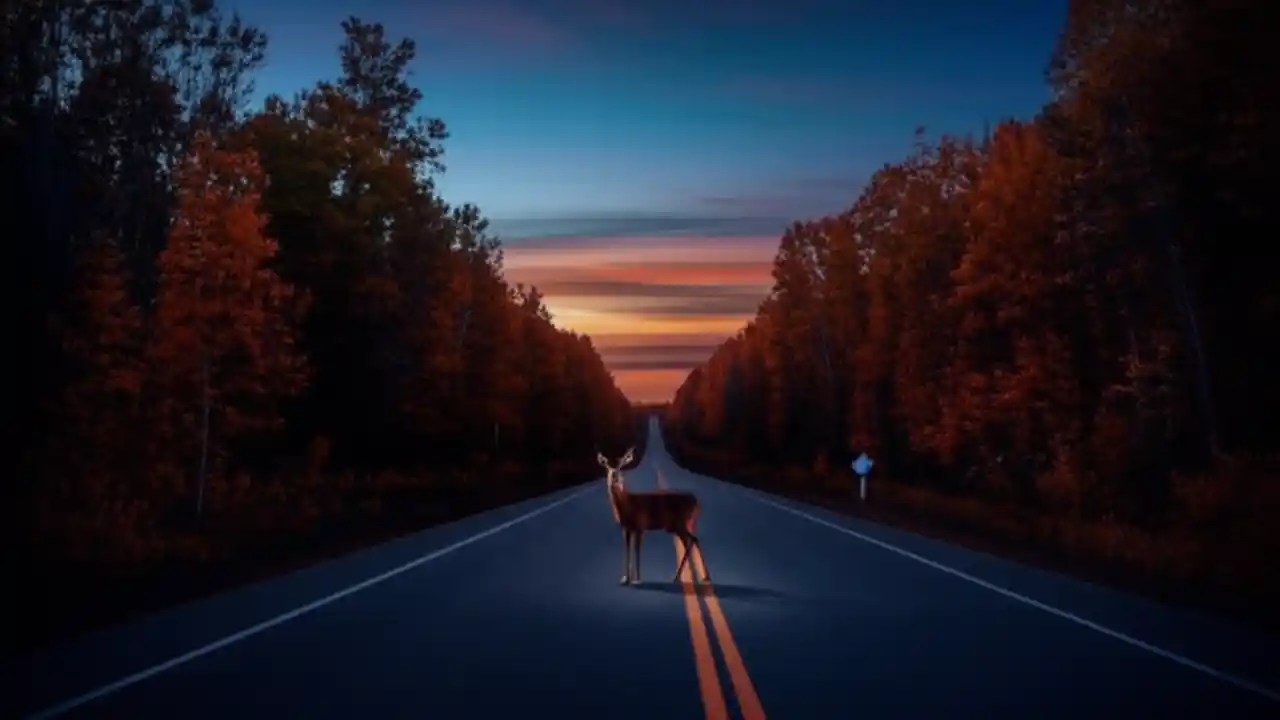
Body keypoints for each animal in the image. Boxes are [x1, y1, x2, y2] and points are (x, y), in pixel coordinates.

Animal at [598, 446, 710, 586]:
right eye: (607, 467)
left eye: (620, 466)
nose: (614, 477)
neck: (625, 504)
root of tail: (696, 502)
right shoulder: (626, 528)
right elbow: (627, 549)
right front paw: (625, 579)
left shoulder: (640, 526)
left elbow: (637, 550)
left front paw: (637, 579)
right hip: (679, 525)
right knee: (691, 540)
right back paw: (697, 577)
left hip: (680, 522)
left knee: (692, 539)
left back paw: (686, 577)